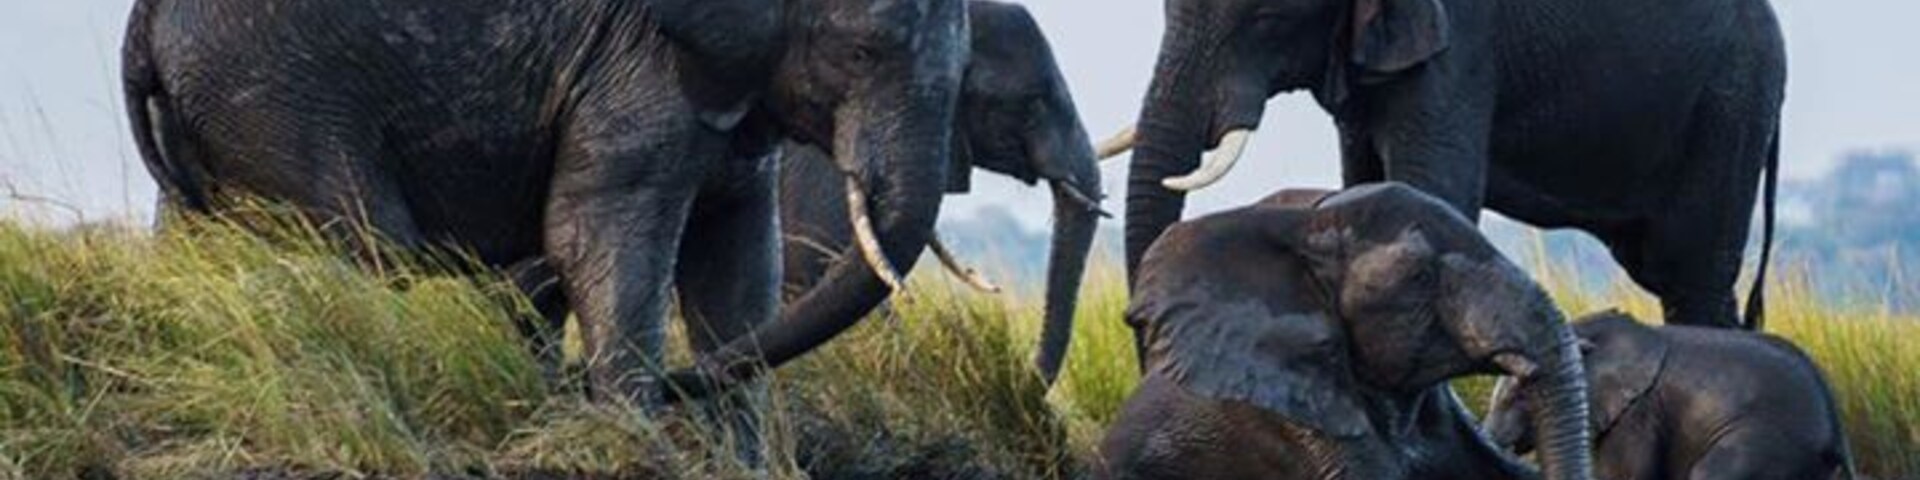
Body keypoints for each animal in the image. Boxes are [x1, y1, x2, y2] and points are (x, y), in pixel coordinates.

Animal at [122, 0, 971, 409]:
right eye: (861, 52)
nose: (567, 388)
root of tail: (142, 24)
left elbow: (735, 274)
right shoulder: (635, 68)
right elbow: (594, 239)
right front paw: (632, 430)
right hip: (281, 93)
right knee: (365, 247)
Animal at [1107, 0, 1787, 331]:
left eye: (1268, 16)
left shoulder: (1460, 46)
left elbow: (1433, 192)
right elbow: (1368, 185)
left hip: (1731, 102)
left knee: (1691, 273)